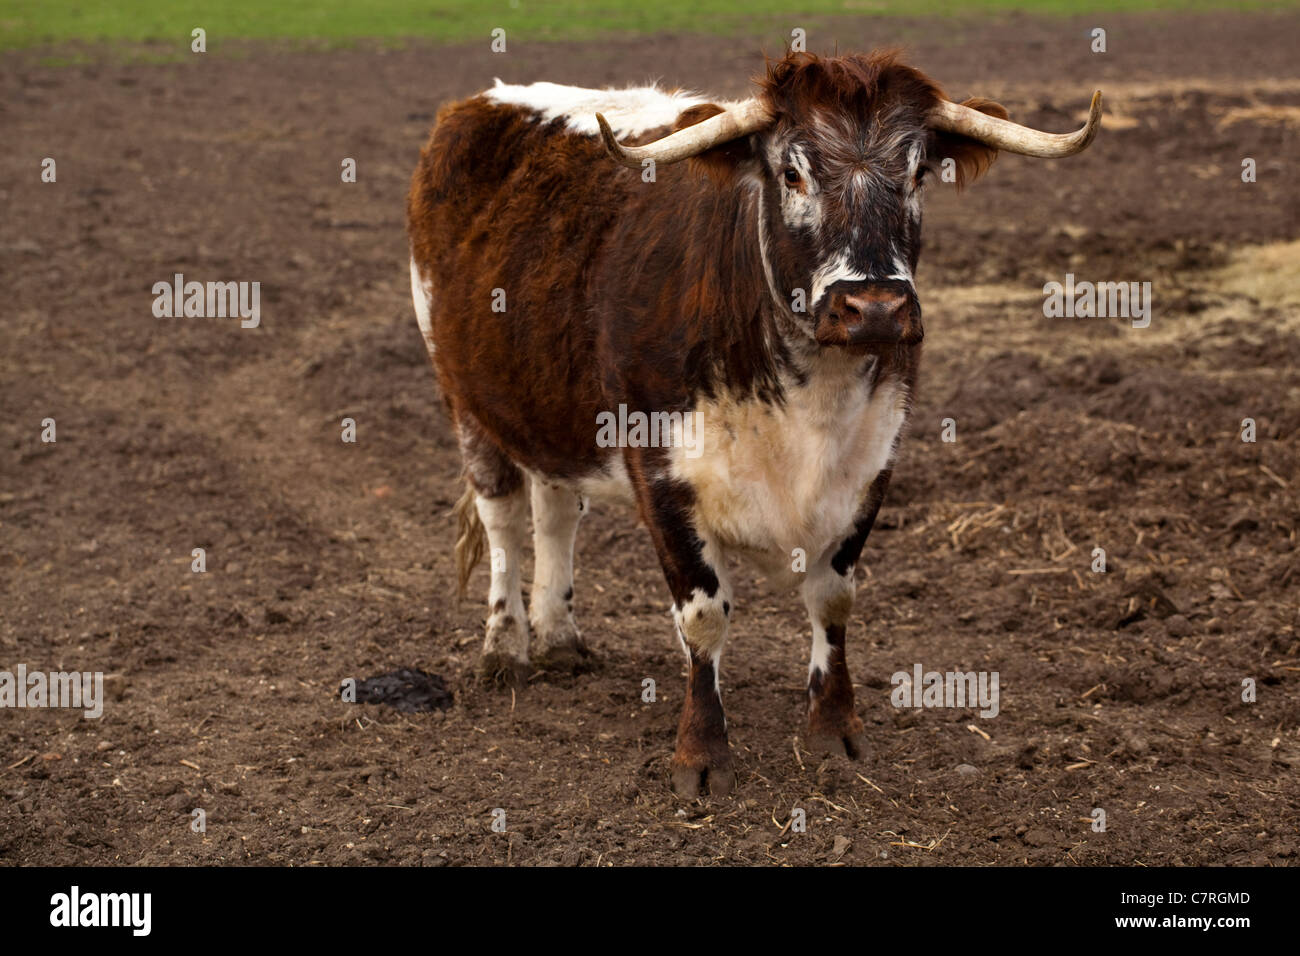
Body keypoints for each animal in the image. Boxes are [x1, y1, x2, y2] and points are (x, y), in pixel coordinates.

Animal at [406, 50, 1101, 798]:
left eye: (918, 173)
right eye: (792, 173)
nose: (875, 310)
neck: (808, 395)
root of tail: (483, 102)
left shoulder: (874, 460)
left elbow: (833, 599)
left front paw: (834, 729)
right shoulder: (660, 473)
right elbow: (704, 616)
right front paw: (702, 755)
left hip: (547, 411)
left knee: (556, 511)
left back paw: (559, 638)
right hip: (467, 403)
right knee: (505, 521)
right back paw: (504, 647)